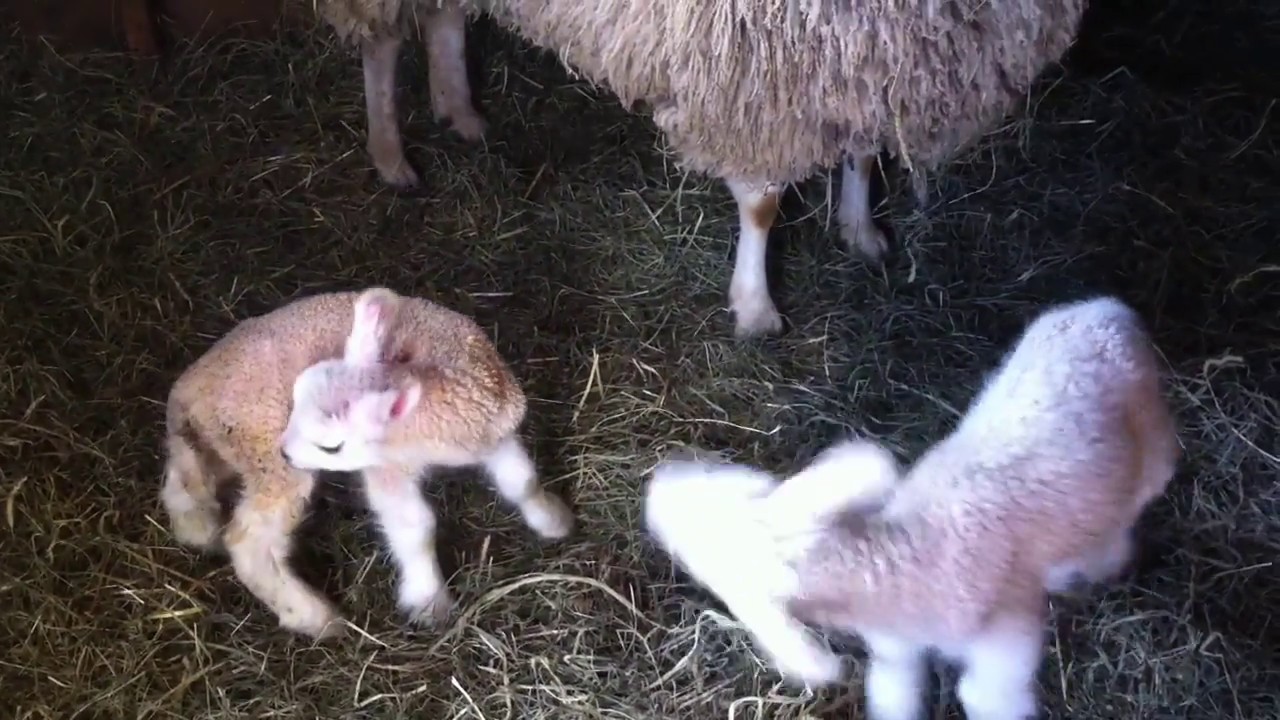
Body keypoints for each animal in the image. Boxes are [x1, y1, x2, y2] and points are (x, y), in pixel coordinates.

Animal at [160, 286, 574, 639]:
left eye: (331, 447)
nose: (286, 451)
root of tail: (187, 391)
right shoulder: (387, 469)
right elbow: (415, 527)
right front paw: (428, 602)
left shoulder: (494, 434)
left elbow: (522, 481)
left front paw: (554, 521)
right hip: (261, 447)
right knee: (249, 542)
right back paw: (316, 618)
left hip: (225, 447)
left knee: (184, 480)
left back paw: (196, 526)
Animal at [644, 295, 1179, 720]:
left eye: (706, 547)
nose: (658, 489)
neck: (899, 560)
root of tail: (1108, 310)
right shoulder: (894, 649)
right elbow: (893, 692)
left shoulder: (1006, 639)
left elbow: (985, 696)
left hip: (1154, 445)